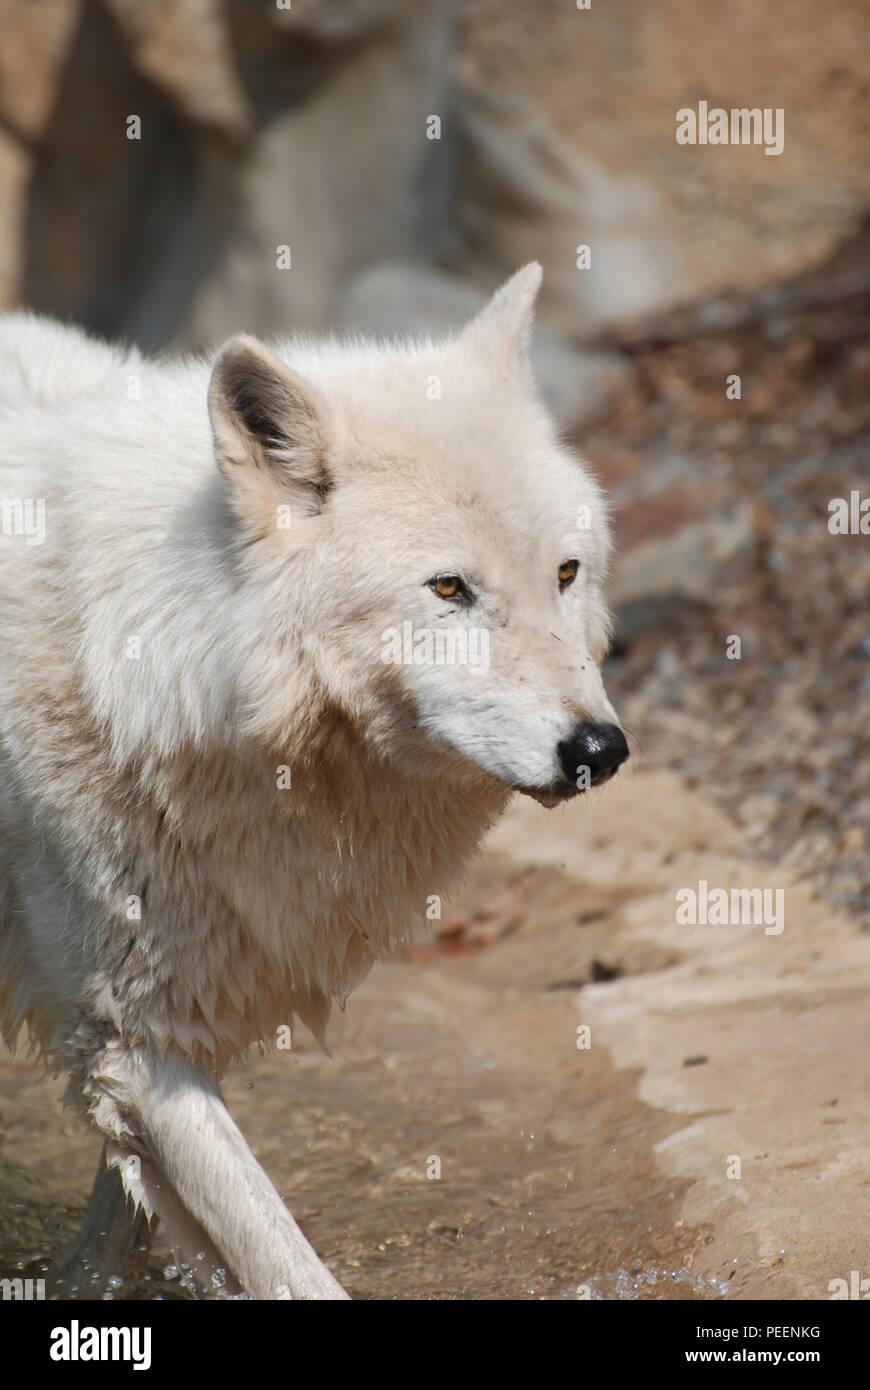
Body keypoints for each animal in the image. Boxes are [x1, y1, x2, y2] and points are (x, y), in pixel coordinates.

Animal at [0, 265, 628, 1299]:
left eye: (567, 573)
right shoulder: (131, 1039)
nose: (600, 749)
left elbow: (128, 1224)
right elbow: (276, 1253)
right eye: (449, 589)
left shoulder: (157, 1019)